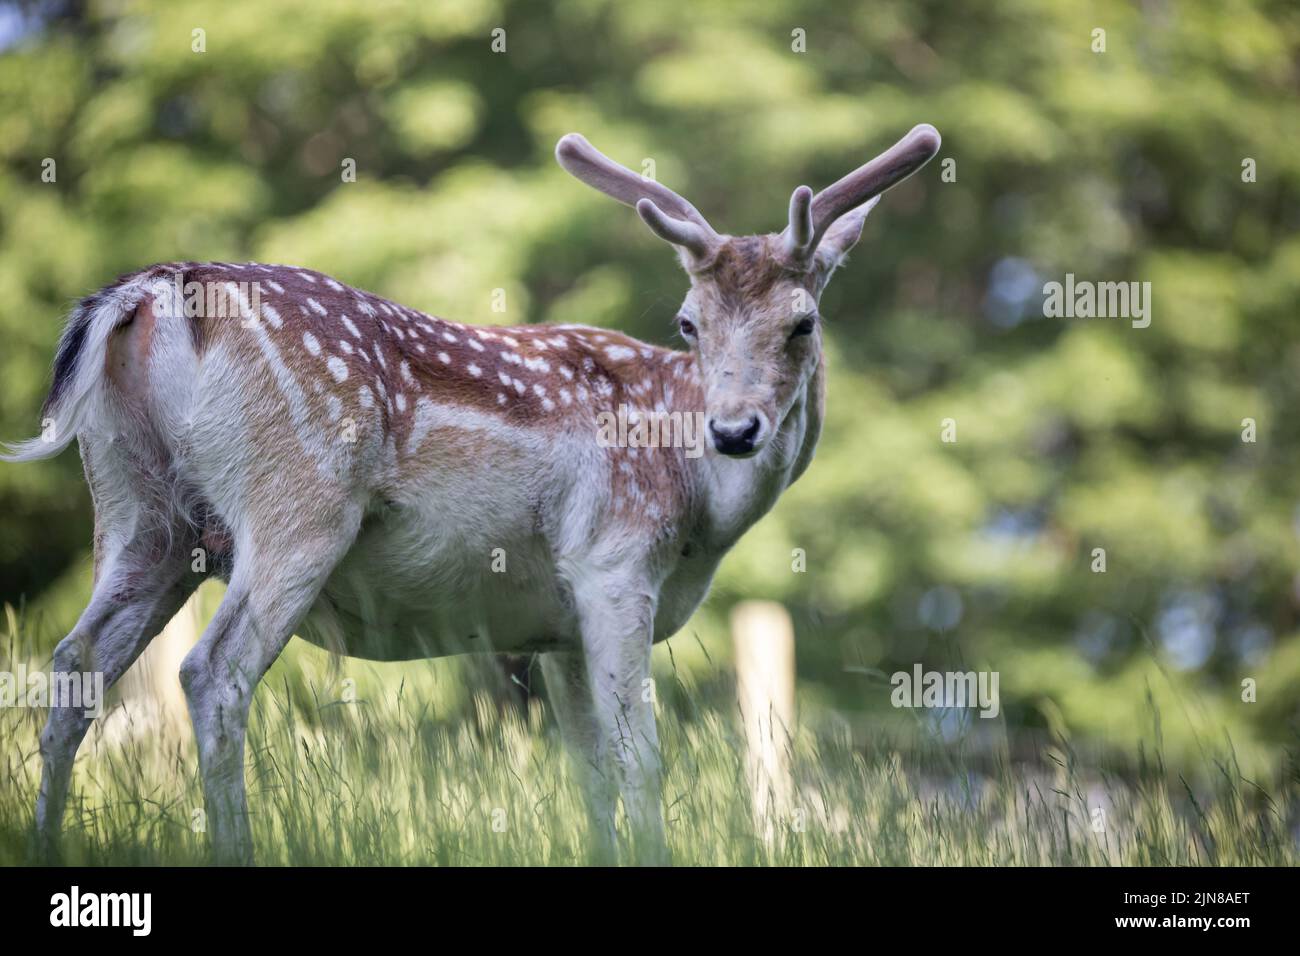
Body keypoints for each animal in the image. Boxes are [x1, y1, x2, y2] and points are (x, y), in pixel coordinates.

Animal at [0, 123, 935, 863]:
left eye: (802, 322)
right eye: (688, 322)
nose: (735, 430)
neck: (697, 512)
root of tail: (146, 292)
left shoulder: (556, 627)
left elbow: (591, 773)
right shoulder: (613, 560)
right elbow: (640, 759)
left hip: (140, 512)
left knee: (76, 664)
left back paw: (47, 842)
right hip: (297, 498)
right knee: (212, 670)